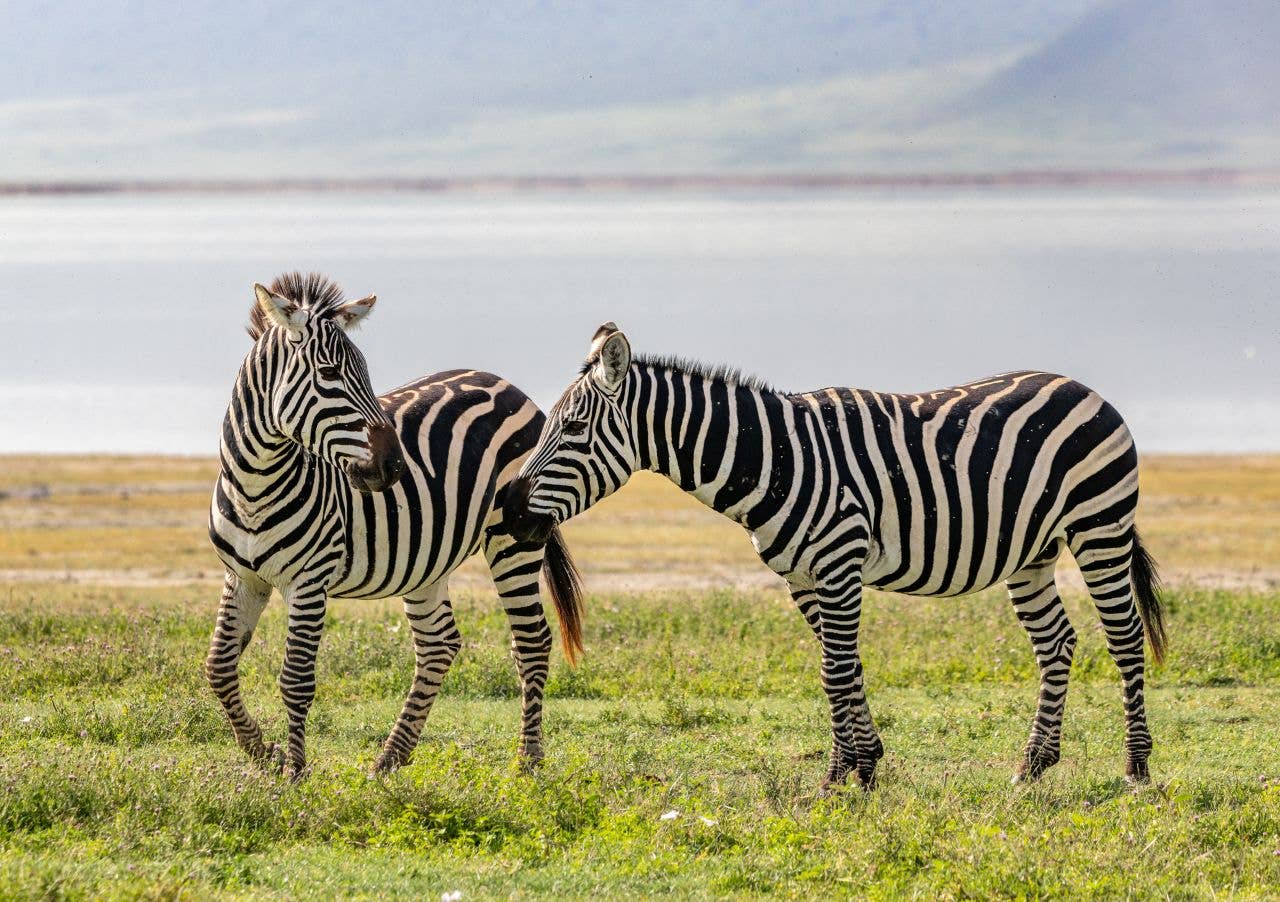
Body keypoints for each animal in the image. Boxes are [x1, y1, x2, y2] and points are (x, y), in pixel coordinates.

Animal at [206, 272, 583, 780]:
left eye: (366, 373)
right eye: (329, 374)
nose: (395, 467)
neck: (254, 486)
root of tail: (507, 384)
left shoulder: (309, 582)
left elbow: (297, 679)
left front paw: (296, 772)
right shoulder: (242, 578)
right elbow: (219, 668)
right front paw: (262, 751)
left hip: (512, 539)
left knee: (532, 641)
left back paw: (528, 761)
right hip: (427, 560)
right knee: (440, 644)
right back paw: (391, 757)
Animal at [508, 322, 1167, 792]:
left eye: (571, 429)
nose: (511, 511)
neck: (773, 458)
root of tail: (1083, 388)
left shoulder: (839, 562)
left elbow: (835, 670)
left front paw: (838, 775)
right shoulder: (802, 577)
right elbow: (843, 669)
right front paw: (864, 766)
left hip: (1099, 526)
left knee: (1126, 637)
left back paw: (1136, 768)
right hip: (1030, 553)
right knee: (1056, 642)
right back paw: (1033, 763)